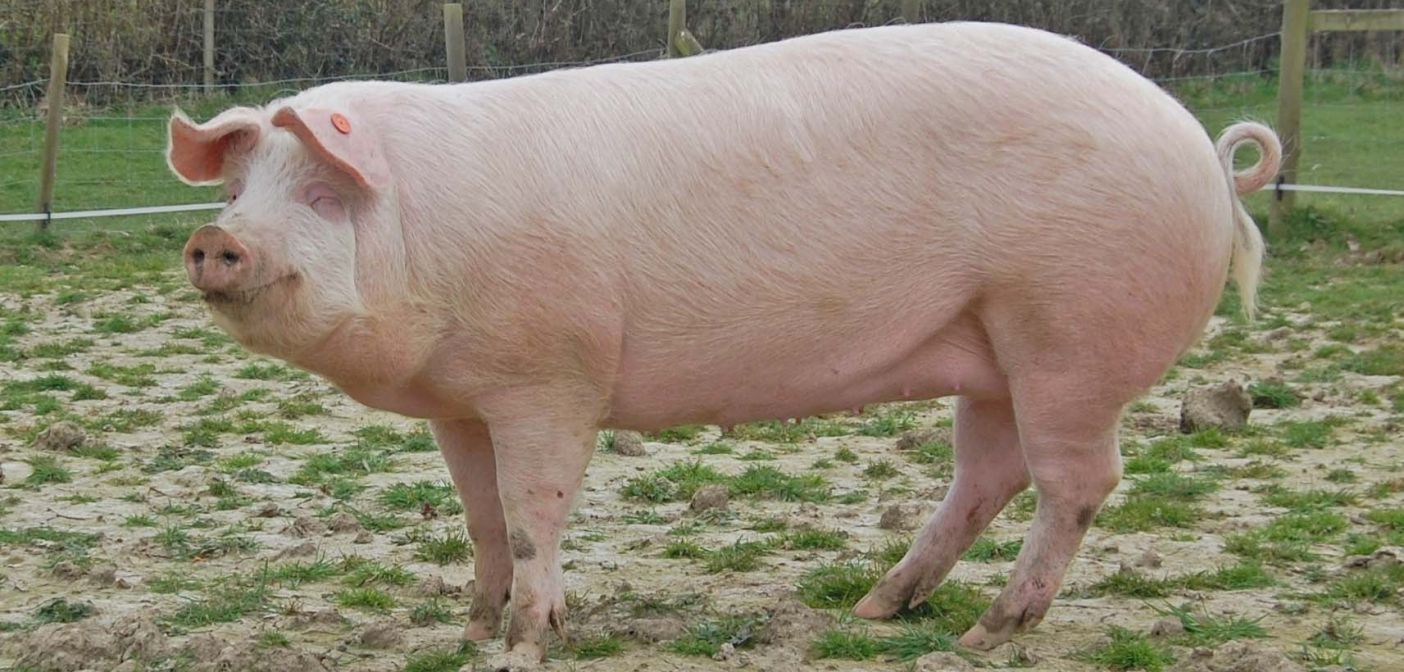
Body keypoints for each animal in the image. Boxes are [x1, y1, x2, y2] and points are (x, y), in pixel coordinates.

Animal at [167, 21, 1280, 668]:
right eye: (240, 187)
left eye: (320, 193)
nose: (216, 239)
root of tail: (1204, 150)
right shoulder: (462, 401)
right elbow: (481, 518)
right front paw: (469, 628)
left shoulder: (552, 376)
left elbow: (534, 514)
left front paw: (526, 644)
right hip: (993, 347)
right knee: (990, 474)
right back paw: (877, 610)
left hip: (1067, 335)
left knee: (1077, 481)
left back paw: (988, 633)